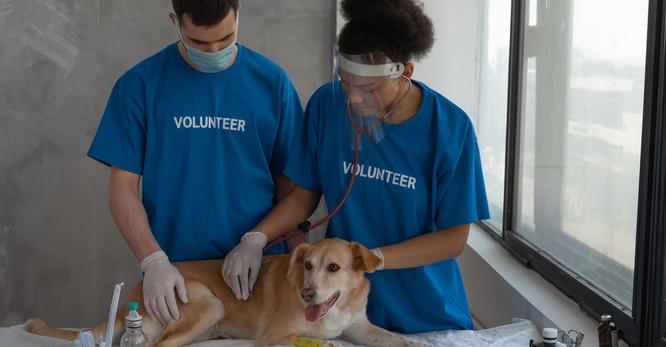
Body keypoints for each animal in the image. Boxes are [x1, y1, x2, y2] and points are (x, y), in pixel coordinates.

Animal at [23, 239, 428, 347]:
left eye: (333, 268)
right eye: (307, 265)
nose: (307, 294)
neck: (334, 310)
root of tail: (132, 294)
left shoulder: (360, 327)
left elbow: (394, 339)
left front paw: (410, 343)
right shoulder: (274, 336)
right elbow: (321, 342)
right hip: (209, 302)